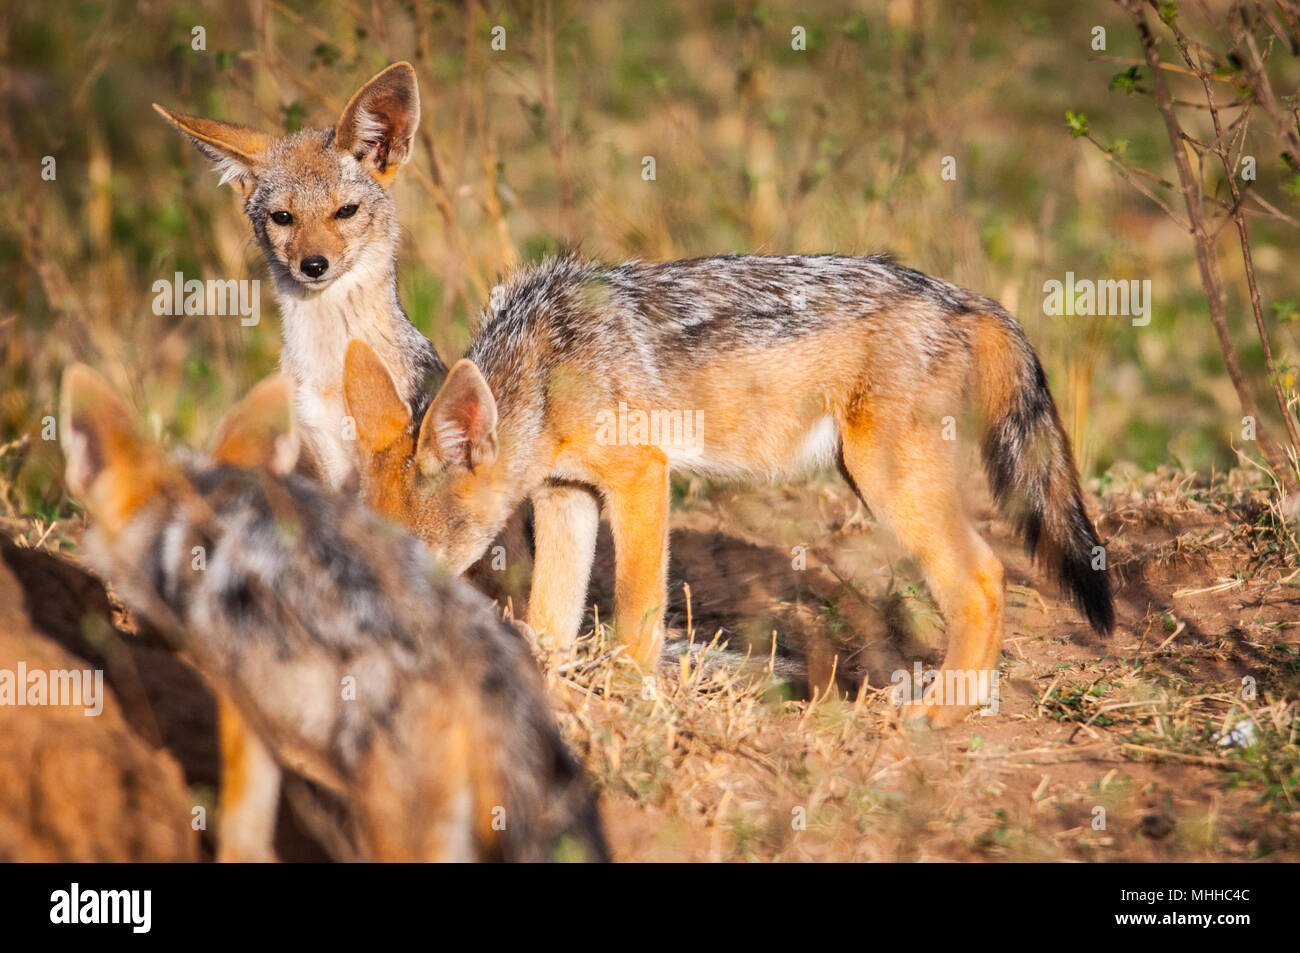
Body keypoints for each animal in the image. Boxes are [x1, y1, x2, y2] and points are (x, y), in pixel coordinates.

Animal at [340, 253, 1116, 726]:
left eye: (412, 555)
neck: (542, 370)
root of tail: (962, 296)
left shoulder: (642, 476)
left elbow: (637, 612)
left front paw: (633, 699)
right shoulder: (566, 495)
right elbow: (548, 621)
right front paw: (556, 694)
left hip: (885, 483)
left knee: (985, 580)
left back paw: (940, 714)